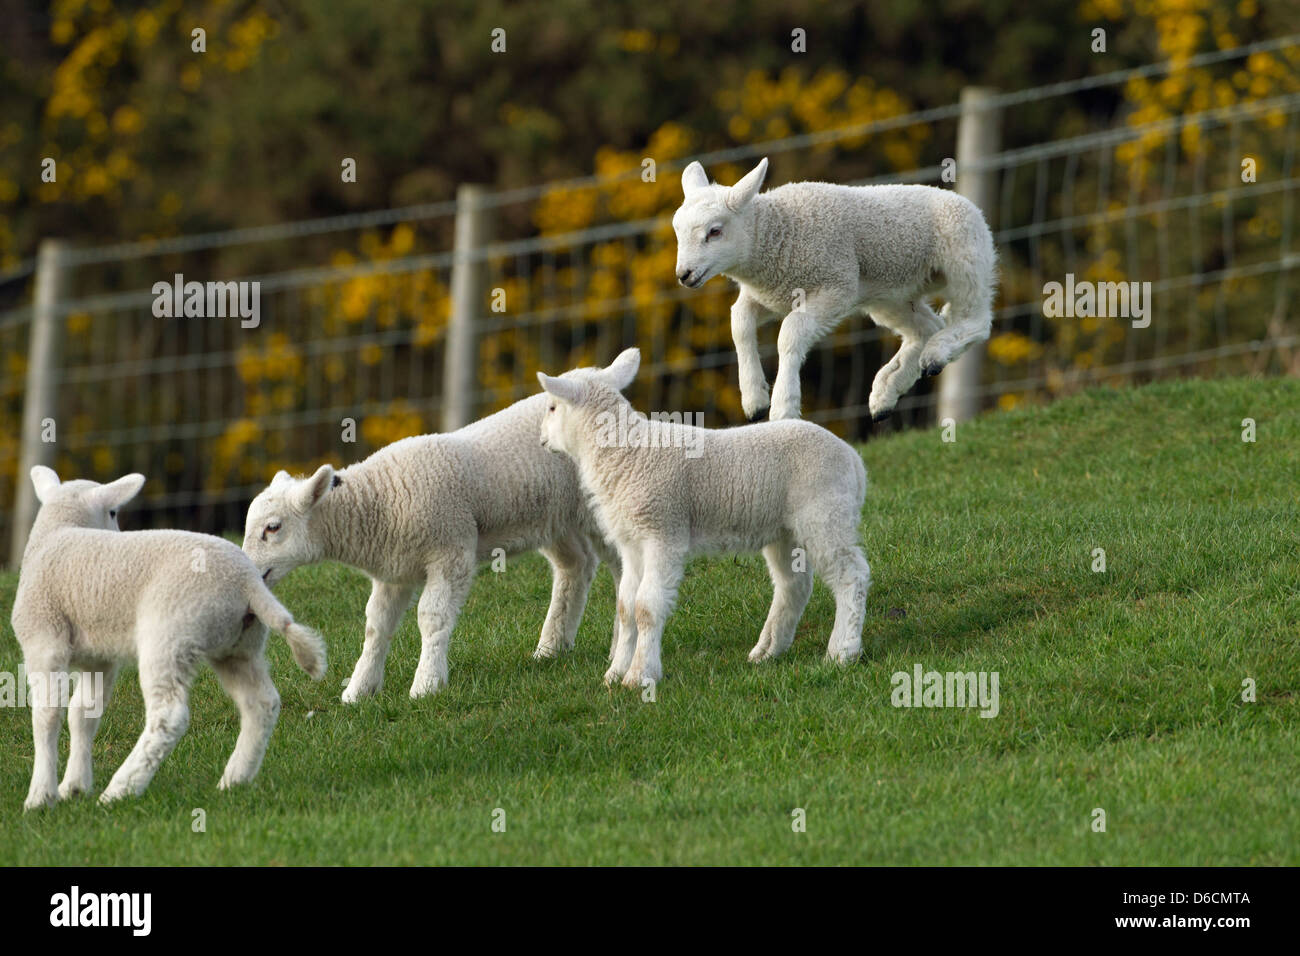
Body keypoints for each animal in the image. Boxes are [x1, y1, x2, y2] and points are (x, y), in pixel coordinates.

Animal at [12, 467, 327, 810]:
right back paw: (235, 779)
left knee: (169, 716)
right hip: (238, 646)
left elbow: (47, 715)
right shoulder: (100, 657)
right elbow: (83, 713)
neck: (56, 533)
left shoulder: (44, 639)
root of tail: (248, 582)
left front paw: (40, 796)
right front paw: (75, 786)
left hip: (169, 636)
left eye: (113, 511)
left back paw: (121, 789)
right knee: (262, 703)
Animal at [241, 350, 641, 703]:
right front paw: (359, 690)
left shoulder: (450, 551)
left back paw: (619, 649)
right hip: (553, 516)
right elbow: (375, 626)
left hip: (598, 507)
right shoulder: (393, 571)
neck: (379, 500)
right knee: (576, 566)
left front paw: (426, 685)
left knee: (623, 569)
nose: (244, 574)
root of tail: (598, 376)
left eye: (272, 528)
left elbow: (431, 618)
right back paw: (551, 648)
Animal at [536, 363, 871, 689]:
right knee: (794, 584)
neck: (627, 455)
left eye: (552, 407)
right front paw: (615, 674)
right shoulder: (631, 544)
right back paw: (768, 651)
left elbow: (646, 607)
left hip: (826, 514)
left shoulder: (663, 532)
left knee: (851, 574)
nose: (541, 439)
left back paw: (842, 651)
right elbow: (626, 608)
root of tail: (854, 460)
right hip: (785, 530)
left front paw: (639, 675)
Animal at [672, 157, 998, 422]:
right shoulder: (770, 294)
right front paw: (754, 400)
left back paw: (935, 355)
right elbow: (739, 322)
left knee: (976, 319)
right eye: (677, 231)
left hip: (963, 254)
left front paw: (783, 408)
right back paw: (887, 392)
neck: (774, 238)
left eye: (715, 231)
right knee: (927, 327)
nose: (684, 275)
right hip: (889, 293)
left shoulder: (836, 286)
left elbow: (791, 333)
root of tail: (969, 206)